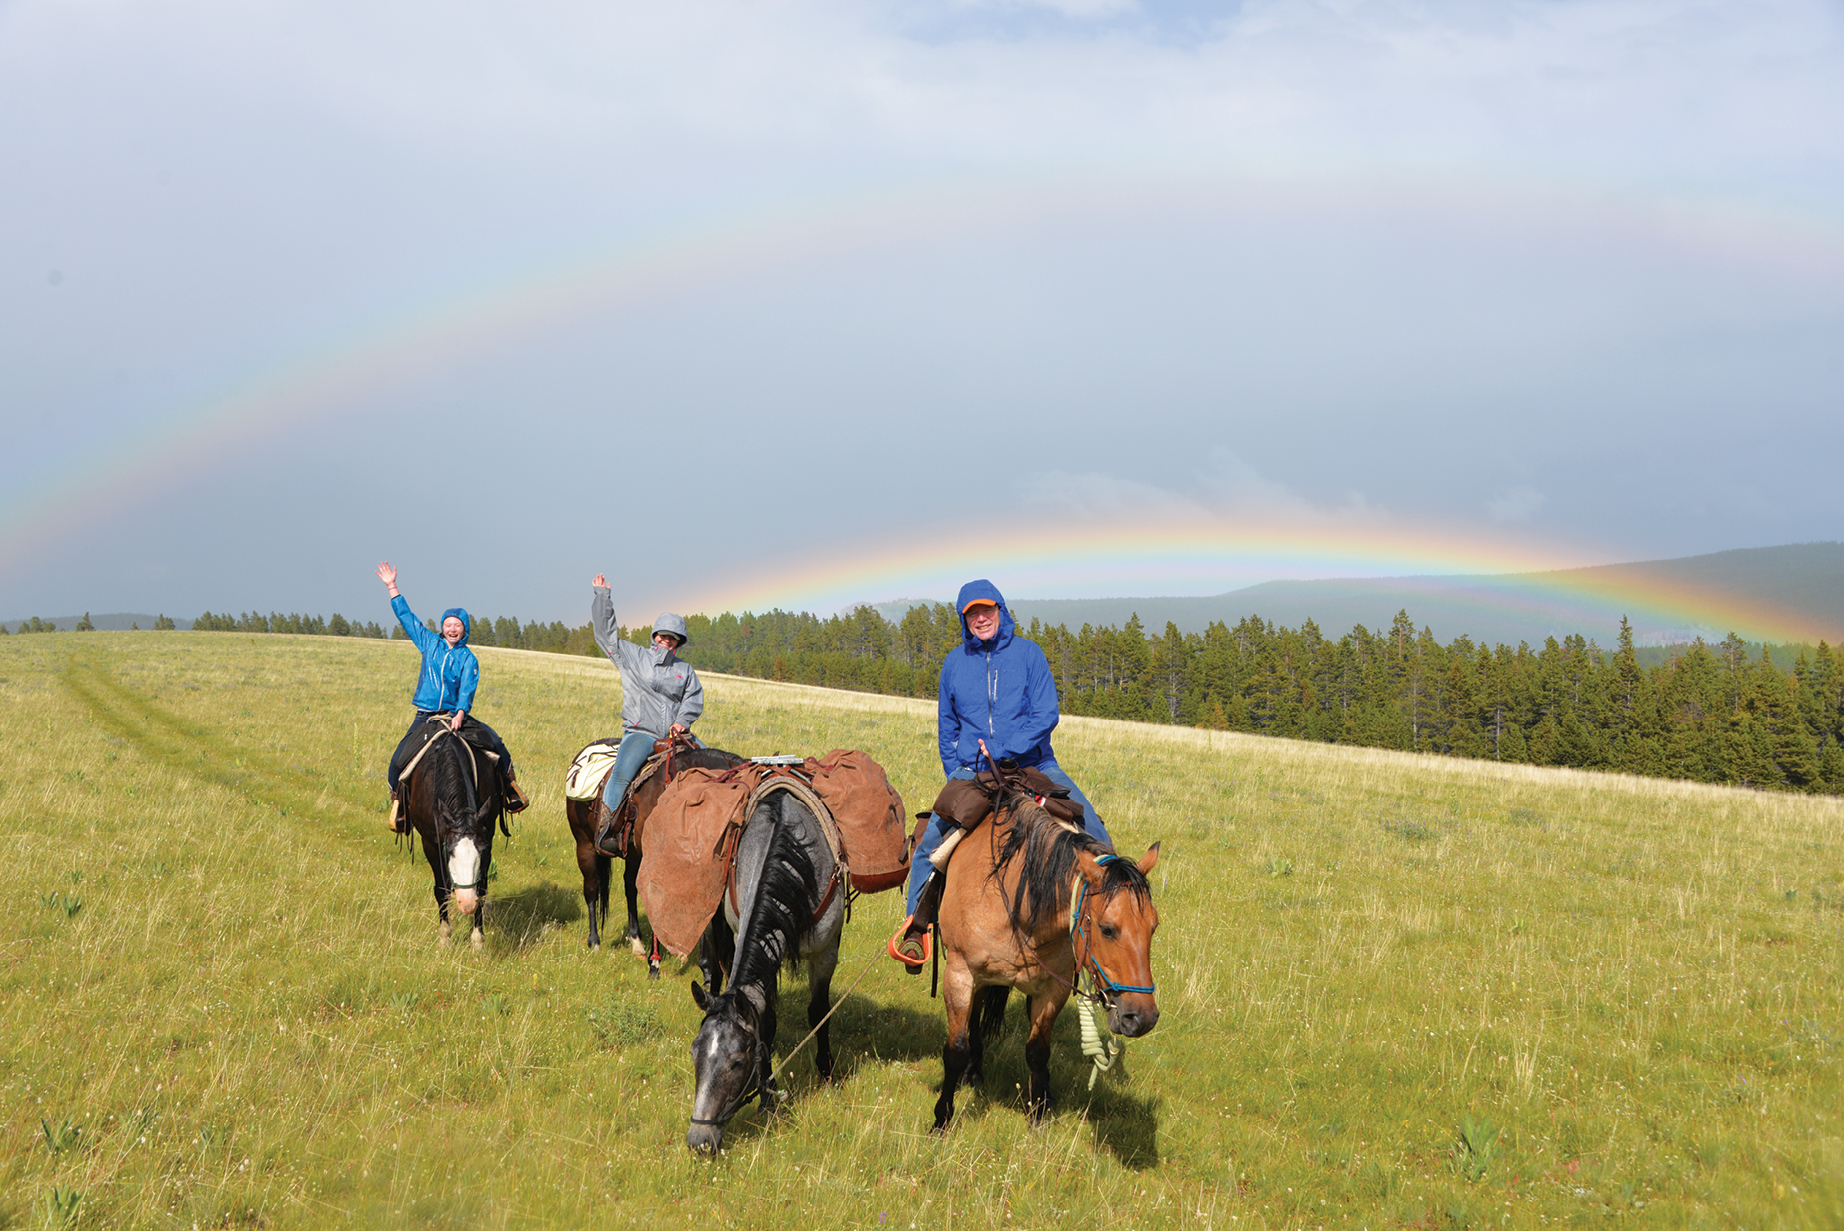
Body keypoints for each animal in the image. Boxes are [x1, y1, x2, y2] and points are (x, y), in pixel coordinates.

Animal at [401, 723, 507, 949]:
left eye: (482, 852)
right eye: (449, 852)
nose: (467, 904)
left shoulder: (488, 835)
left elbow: (481, 887)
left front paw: (478, 940)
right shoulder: (430, 844)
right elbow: (441, 889)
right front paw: (445, 936)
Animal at [564, 736, 746, 970]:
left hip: (632, 854)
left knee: (629, 887)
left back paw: (636, 943)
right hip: (585, 845)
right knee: (592, 889)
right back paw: (594, 941)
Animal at [684, 784, 846, 1153]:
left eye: (738, 1062)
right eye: (695, 1052)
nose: (699, 1140)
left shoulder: (826, 951)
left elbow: (820, 1011)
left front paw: (827, 1073)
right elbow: (766, 1021)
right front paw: (768, 1098)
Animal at [931, 790, 1161, 1132]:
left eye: (1153, 927)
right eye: (1107, 929)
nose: (1142, 1017)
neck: (1018, 901)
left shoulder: (1053, 988)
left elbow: (1038, 1051)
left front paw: (1038, 1114)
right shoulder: (960, 974)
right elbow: (955, 1050)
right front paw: (941, 1119)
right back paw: (973, 1072)